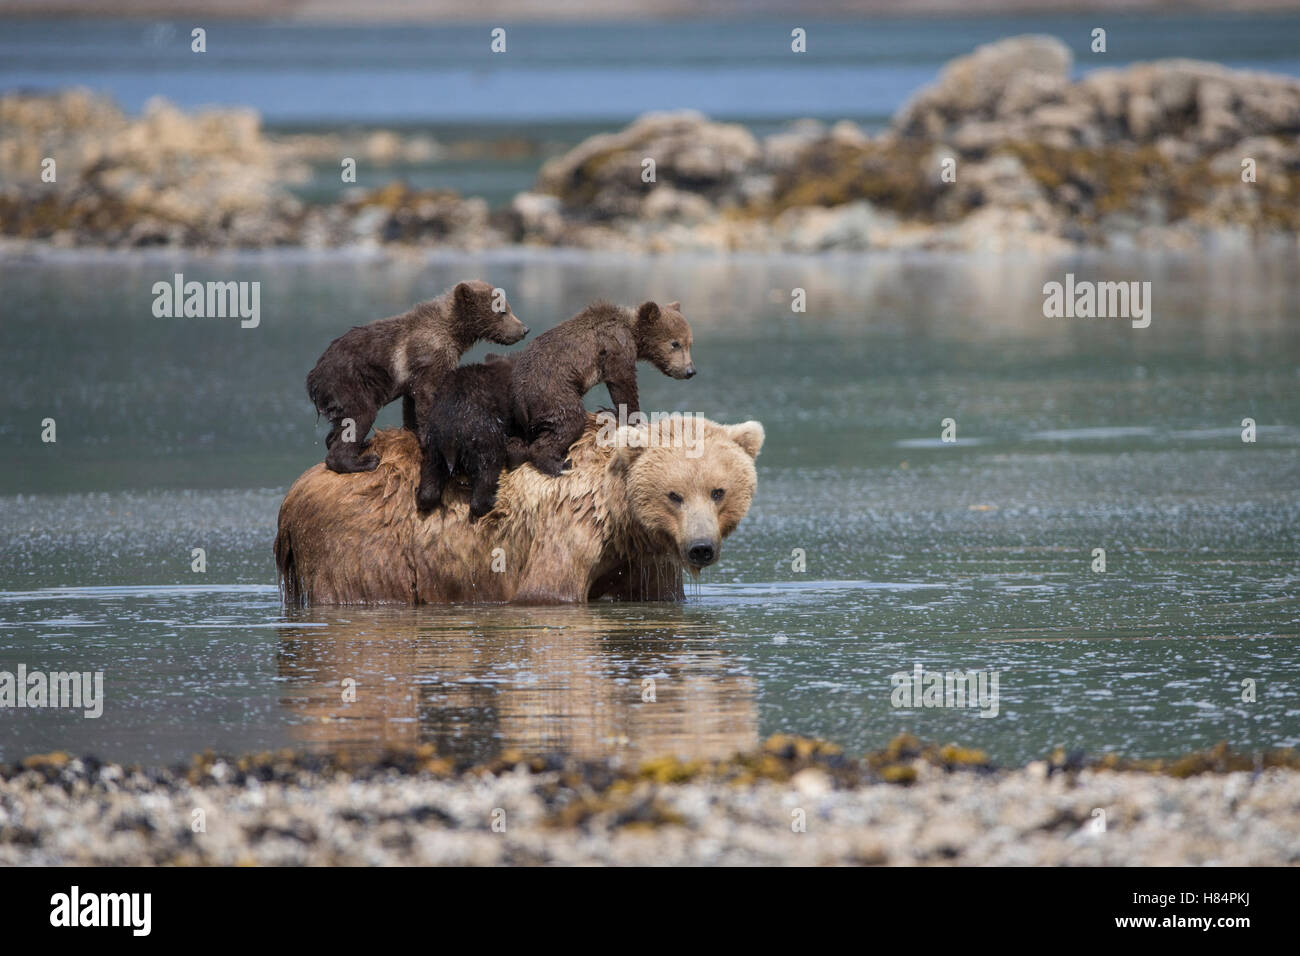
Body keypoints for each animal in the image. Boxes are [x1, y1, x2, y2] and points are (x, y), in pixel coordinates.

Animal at [274, 412, 763, 605]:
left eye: (718, 491)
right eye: (674, 495)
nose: (701, 547)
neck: (619, 516)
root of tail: (292, 495)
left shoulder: (644, 558)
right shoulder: (569, 529)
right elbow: (547, 592)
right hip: (361, 540)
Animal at [305, 279, 528, 474]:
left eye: (508, 307)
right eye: (502, 311)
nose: (524, 329)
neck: (454, 332)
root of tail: (313, 377)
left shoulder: (415, 374)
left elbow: (411, 403)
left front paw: (413, 433)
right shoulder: (429, 357)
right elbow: (426, 396)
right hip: (350, 383)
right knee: (359, 417)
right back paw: (363, 461)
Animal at [415, 352, 528, 520]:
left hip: (435, 439)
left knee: (431, 470)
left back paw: (422, 495)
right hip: (483, 433)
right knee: (488, 467)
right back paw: (489, 502)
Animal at [509, 300, 695, 478]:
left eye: (689, 343)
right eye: (675, 343)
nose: (690, 371)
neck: (633, 334)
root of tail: (519, 398)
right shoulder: (615, 347)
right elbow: (622, 382)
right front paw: (635, 418)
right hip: (553, 391)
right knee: (569, 420)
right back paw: (559, 465)